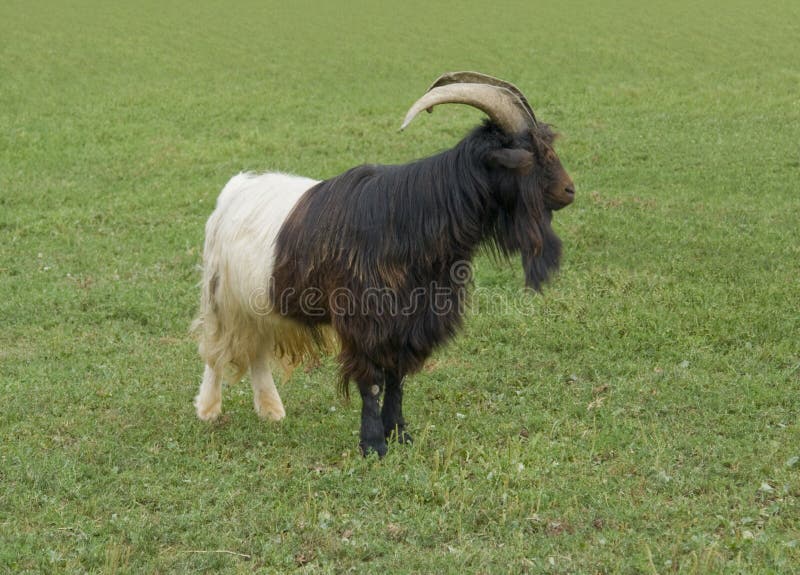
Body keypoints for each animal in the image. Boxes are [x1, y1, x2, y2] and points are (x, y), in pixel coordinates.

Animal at [192, 72, 575, 457]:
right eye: (532, 154)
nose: (569, 190)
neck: (412, 218)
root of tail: (234, 189)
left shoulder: (410, 322)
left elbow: (396, 379)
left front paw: (400, 434)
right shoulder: (365, 322)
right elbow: (372, 381)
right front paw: (373, 444)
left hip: (259, 301)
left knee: (256, 349)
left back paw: (271, 410)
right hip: (220, 295)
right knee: (214, 350)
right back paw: (208, 410)